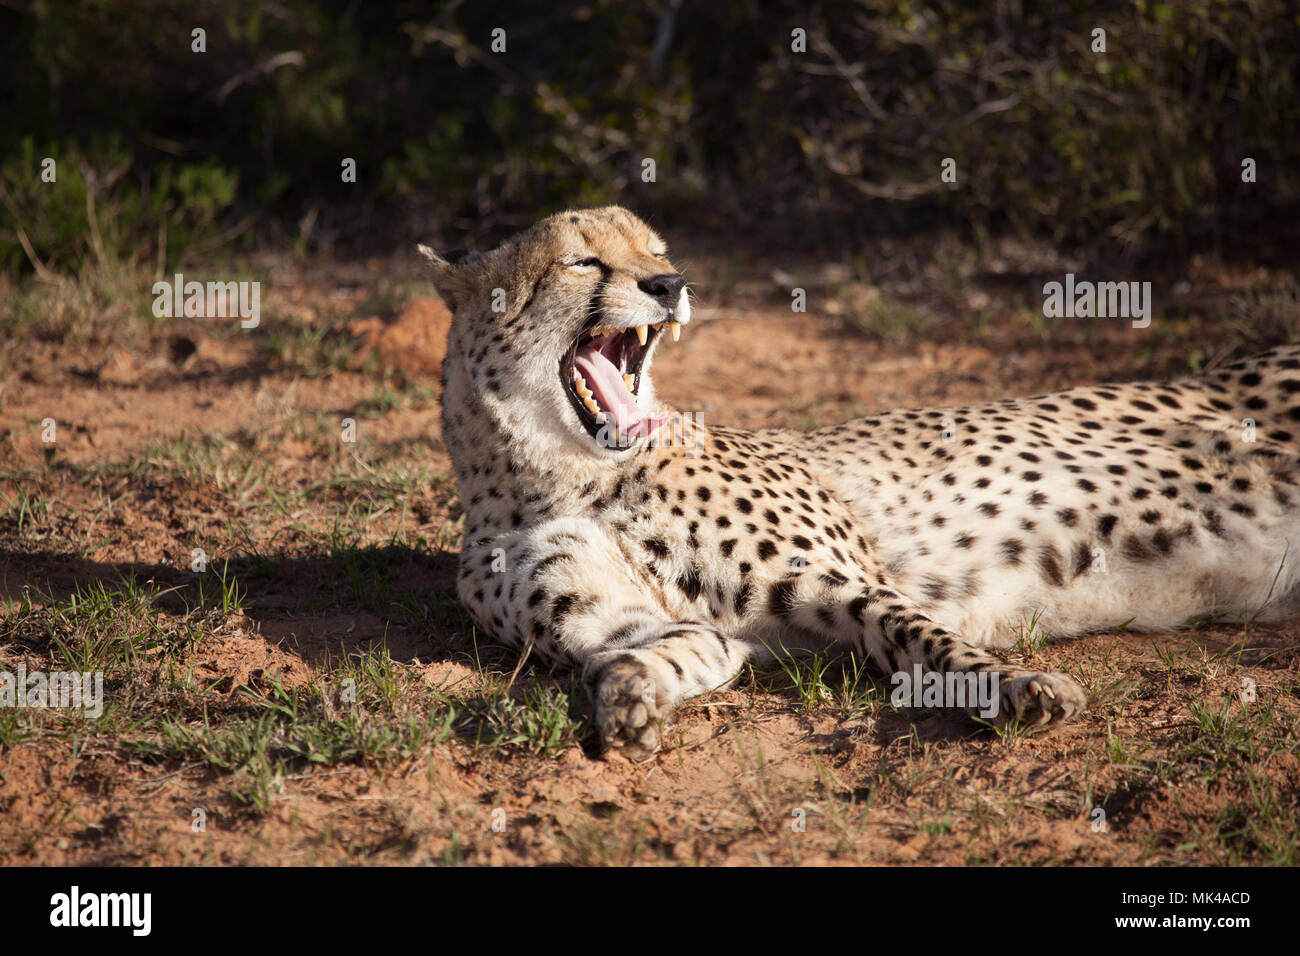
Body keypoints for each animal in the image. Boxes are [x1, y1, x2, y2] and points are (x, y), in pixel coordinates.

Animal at [422, 205, 1300, 758]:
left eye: (657, 253)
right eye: (583, 260)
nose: (670, 286)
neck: (566, 474)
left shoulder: (845, 580)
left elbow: (929, 639)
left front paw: (1016, 684)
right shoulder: (644, 628)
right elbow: (644, 658)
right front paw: (627, 709)